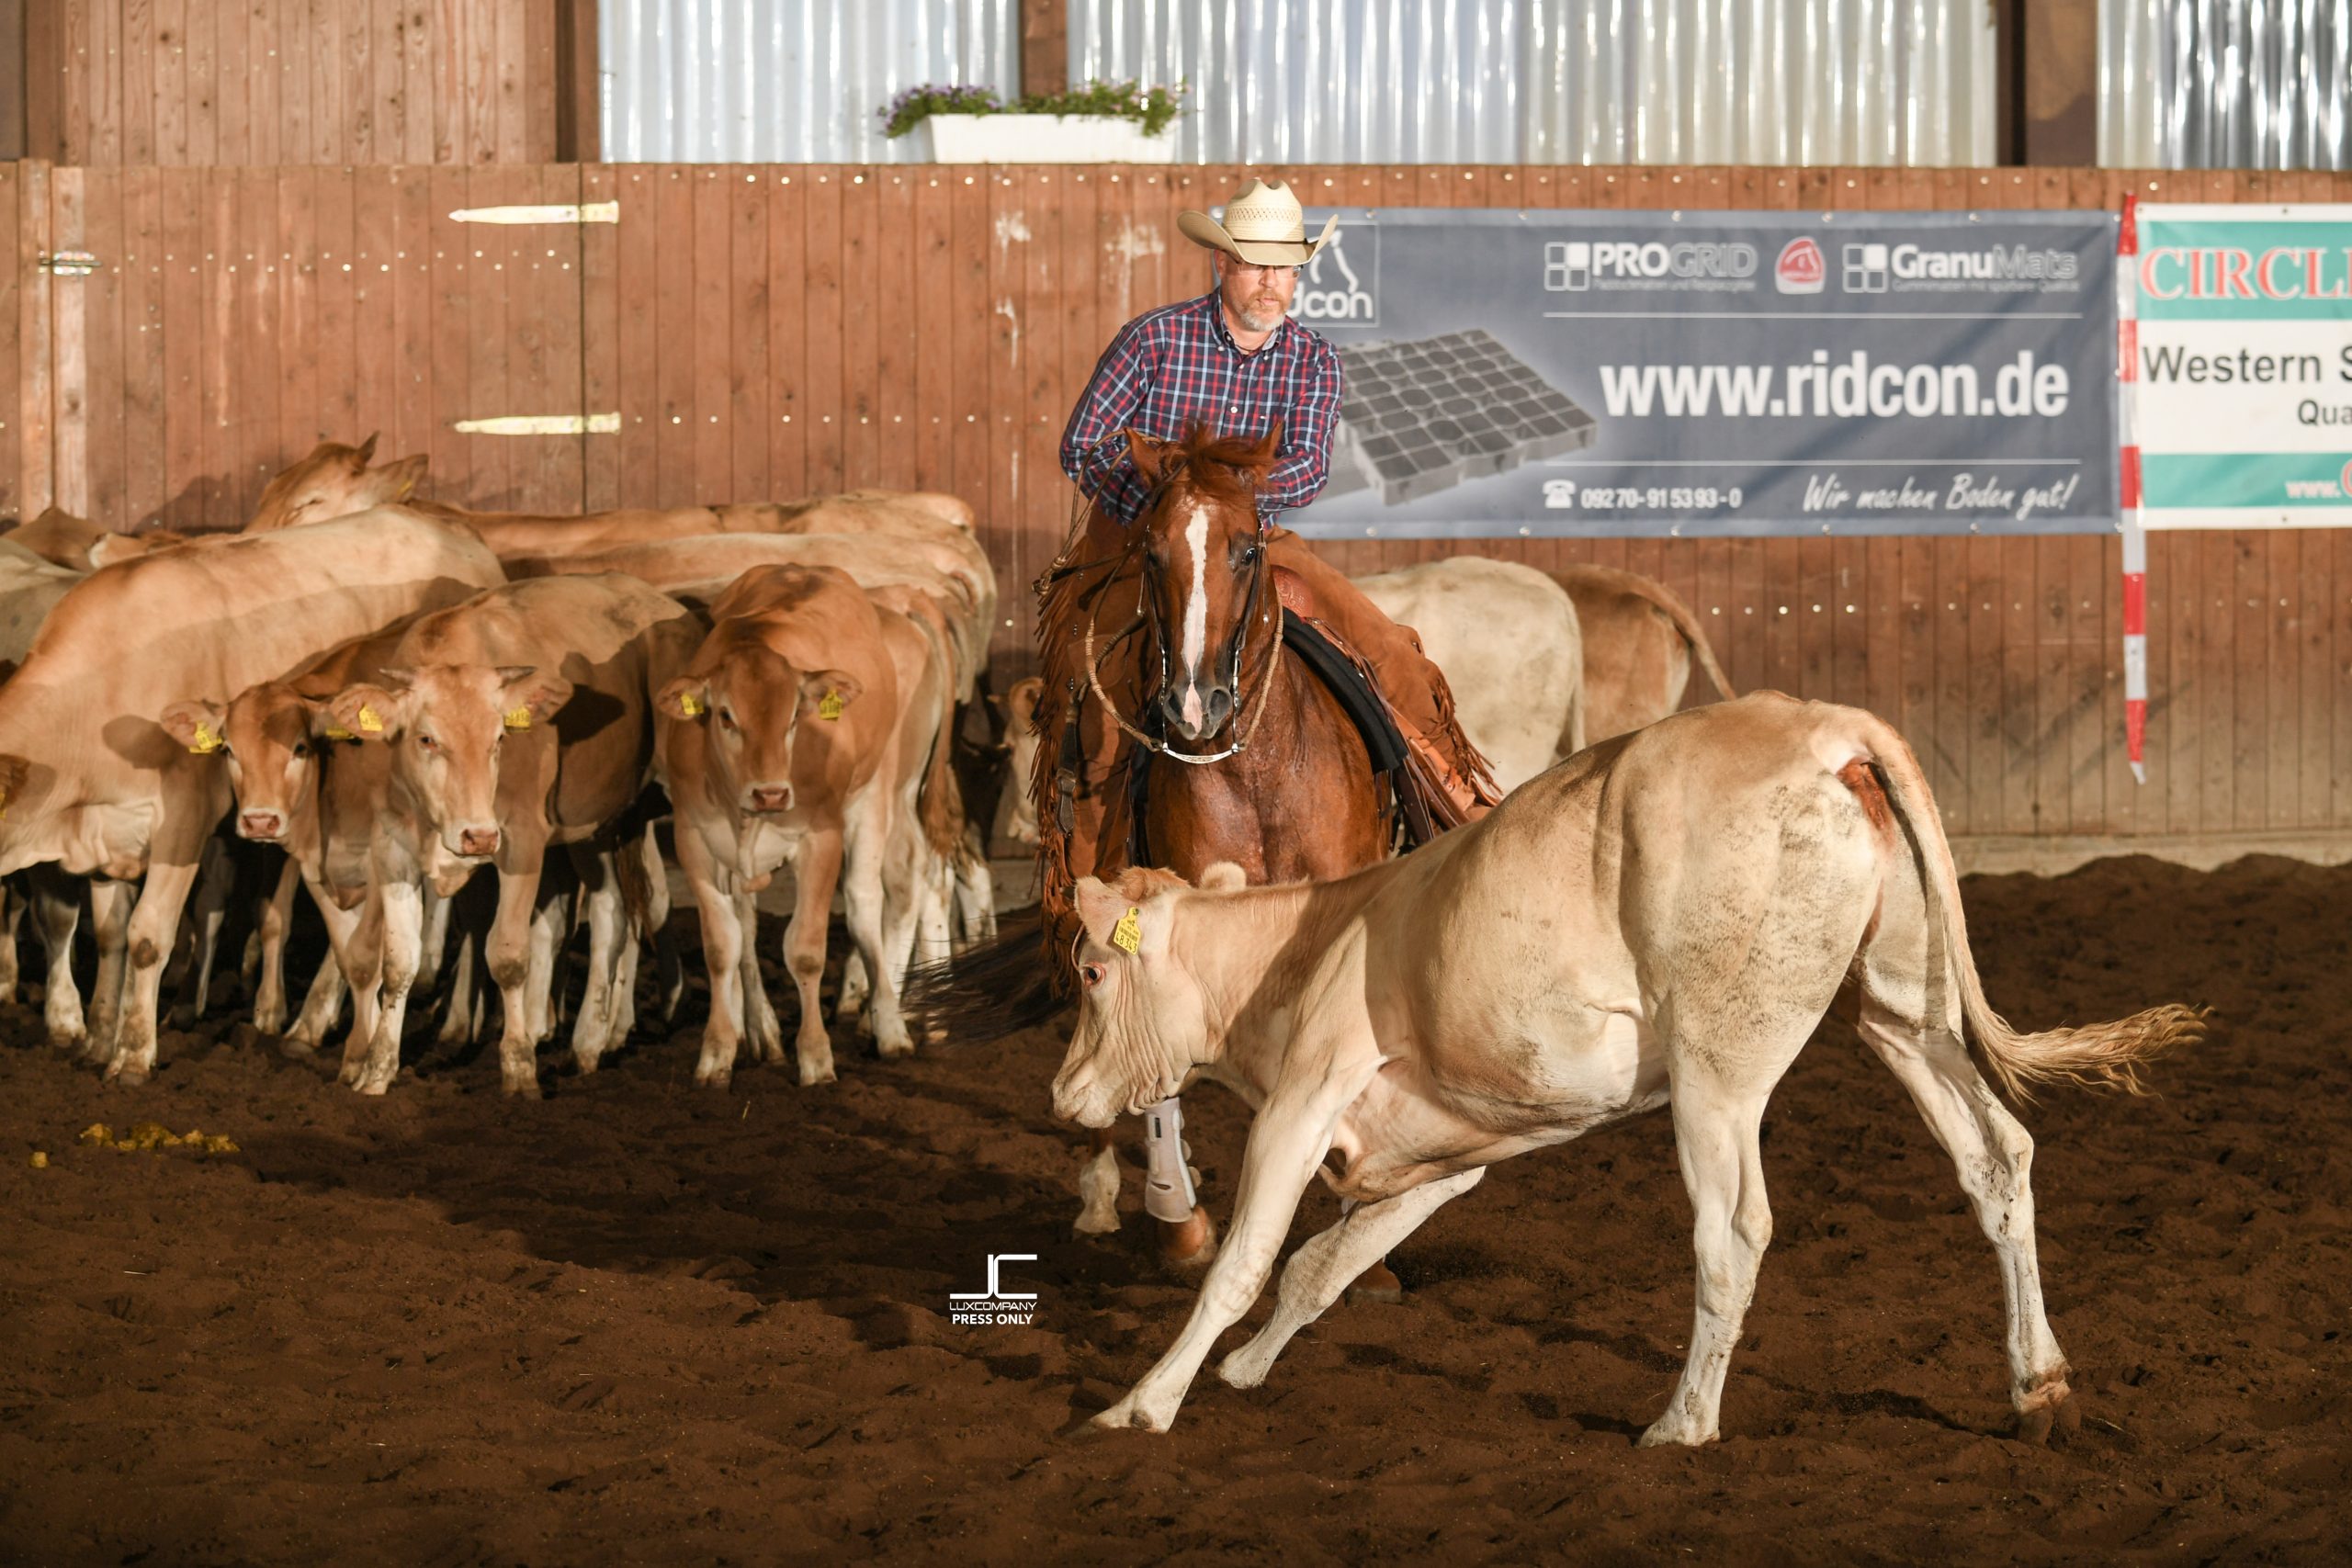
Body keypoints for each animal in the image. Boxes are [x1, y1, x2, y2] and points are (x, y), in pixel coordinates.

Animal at [0, 511, 505, 1082]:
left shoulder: (184, 818)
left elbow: (146, 937)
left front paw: (133, 1054)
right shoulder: (108, 834)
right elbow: (110, 937)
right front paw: (100, 1039)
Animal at [324, 574, 698, 1096]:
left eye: (500, 738)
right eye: (426, 738)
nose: (478, 837)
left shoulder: (522, 840)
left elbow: (508, 955)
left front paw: (520, 1071)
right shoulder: (392, 848)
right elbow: (399, 962)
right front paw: (377, 1072)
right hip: (597, 825)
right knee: (613, 913)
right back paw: (588, 1045)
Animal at [656, 564, 940, 1087]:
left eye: (793, 718)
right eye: (725, 715)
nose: (770, 793)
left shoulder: (820, 838)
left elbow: (805, 949)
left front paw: (816, 1057)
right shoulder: (694, 842)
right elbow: (722, 946)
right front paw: (717, 1053)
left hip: (882, 792)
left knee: (872, 898)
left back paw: (887, 1024)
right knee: (748, 924)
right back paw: (762, 1034)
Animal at [1049, 692, 2203, 1444]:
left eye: (1092, 972)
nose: (1064, 1092)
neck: (1313, 941)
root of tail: (1824, 725)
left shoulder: (1301, 1100)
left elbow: (1246, 1265)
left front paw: (1141, 1404)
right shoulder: (1444, 1159)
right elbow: (1314, 1271)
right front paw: (1243, 1370)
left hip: (1716, 1071)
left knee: (1731, 1231)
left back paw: (1682, 1424)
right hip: (1900, 1013)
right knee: (1997, 1160)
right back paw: (2037, 1386)